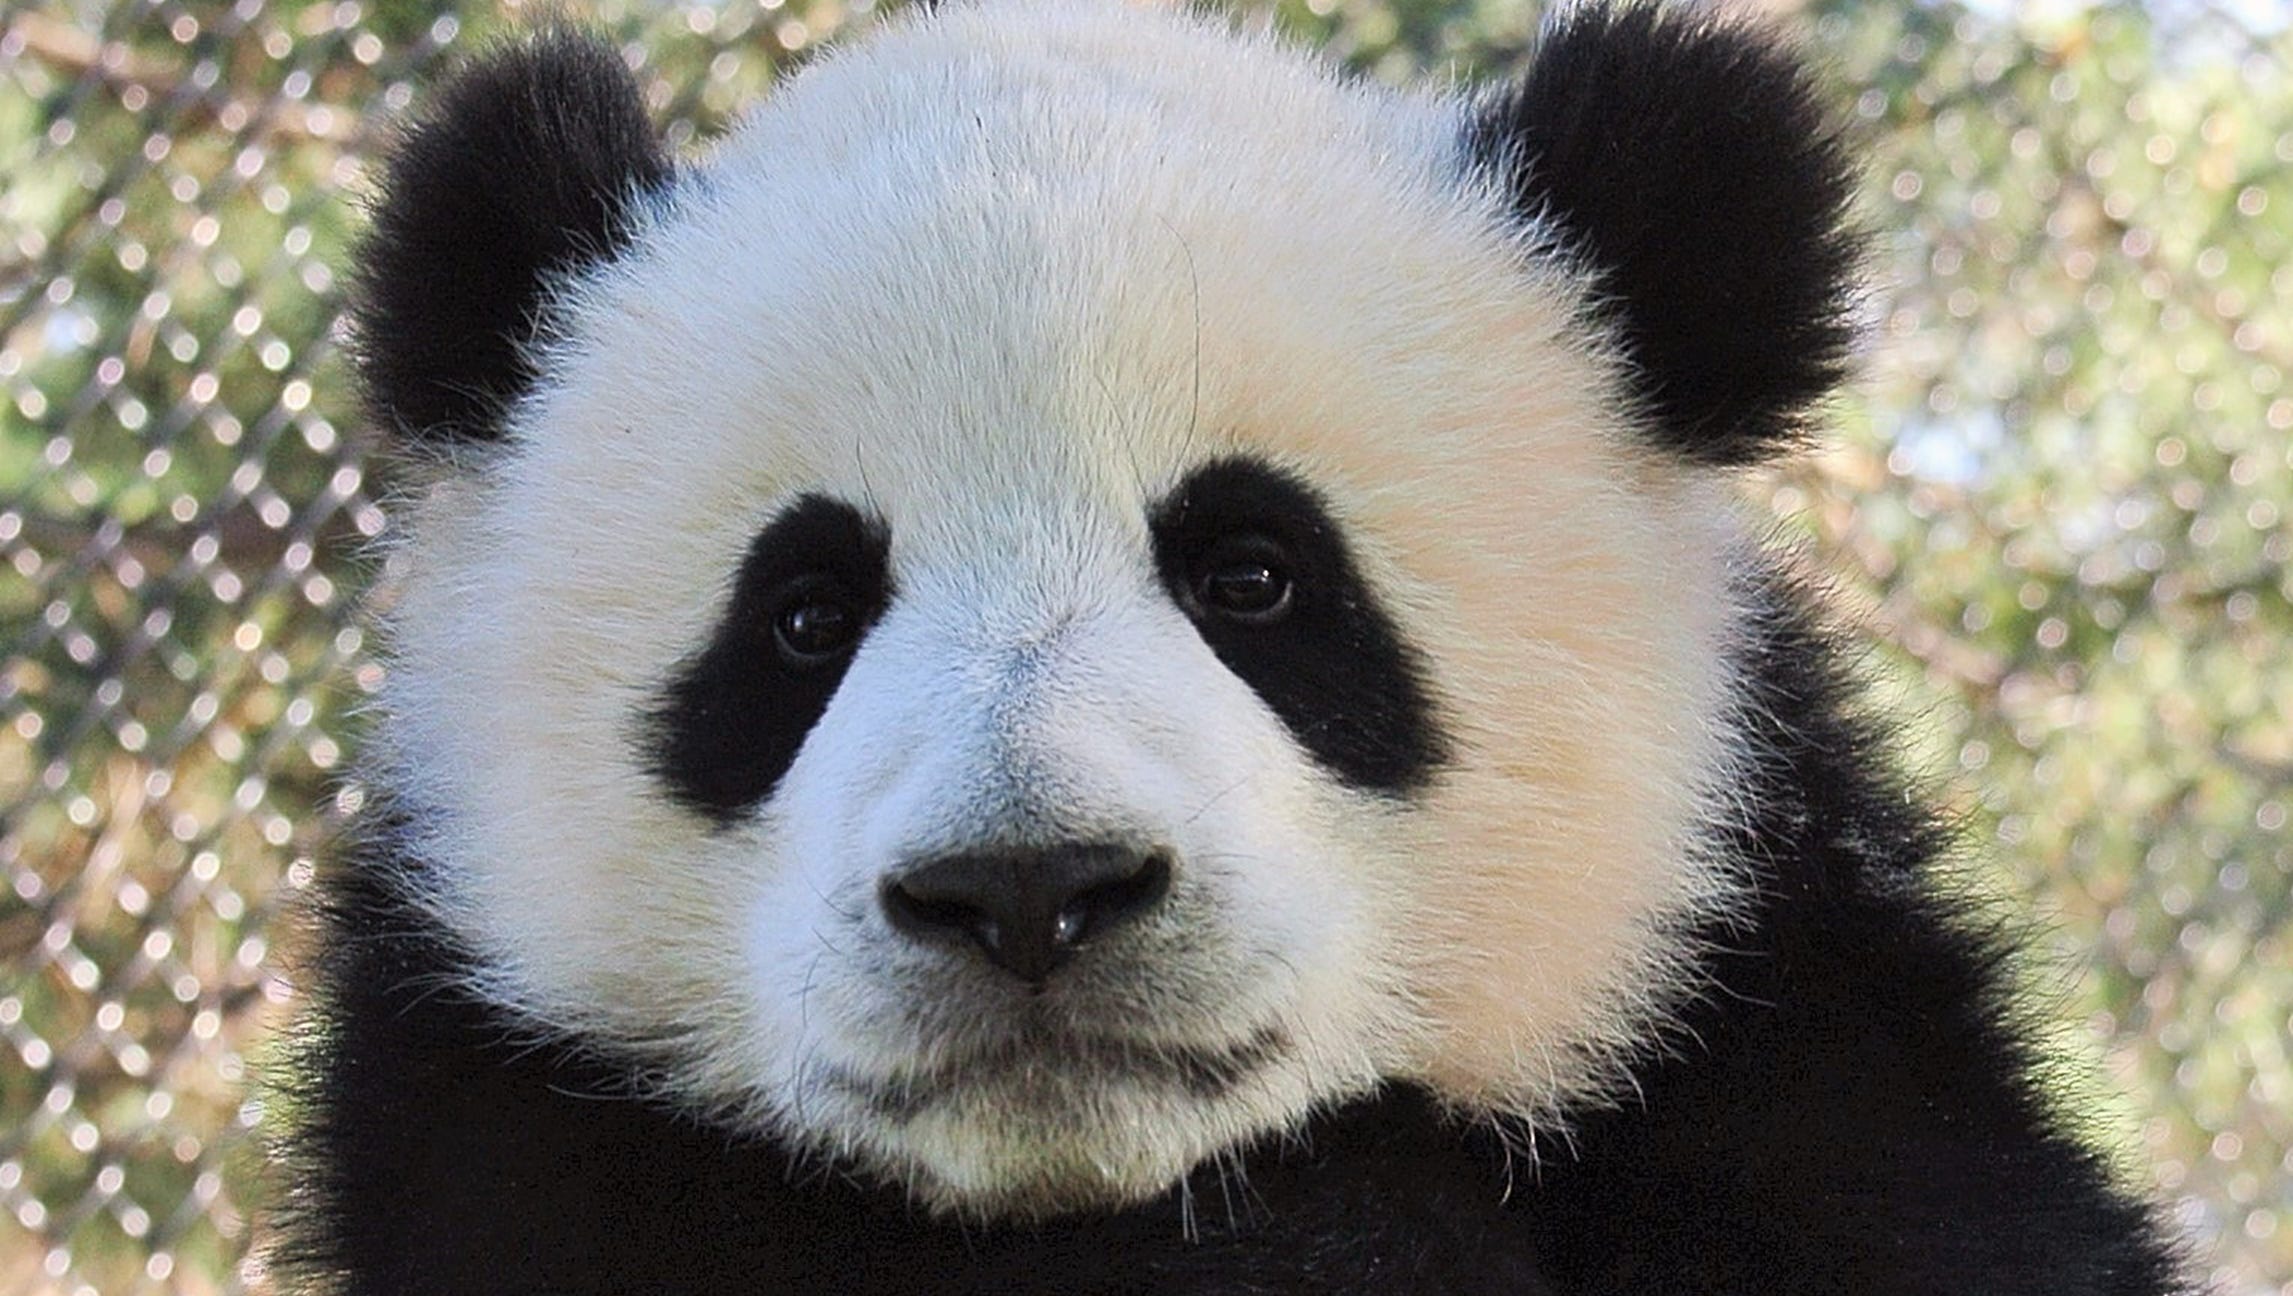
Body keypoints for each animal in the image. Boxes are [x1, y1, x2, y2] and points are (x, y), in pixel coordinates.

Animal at [278, 2, 2194, 1292]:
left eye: (1255, 578)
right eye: (804, 618)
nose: (1027, 888)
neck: (1120, 1196)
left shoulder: (1787, 1029)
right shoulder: (513, 1138)